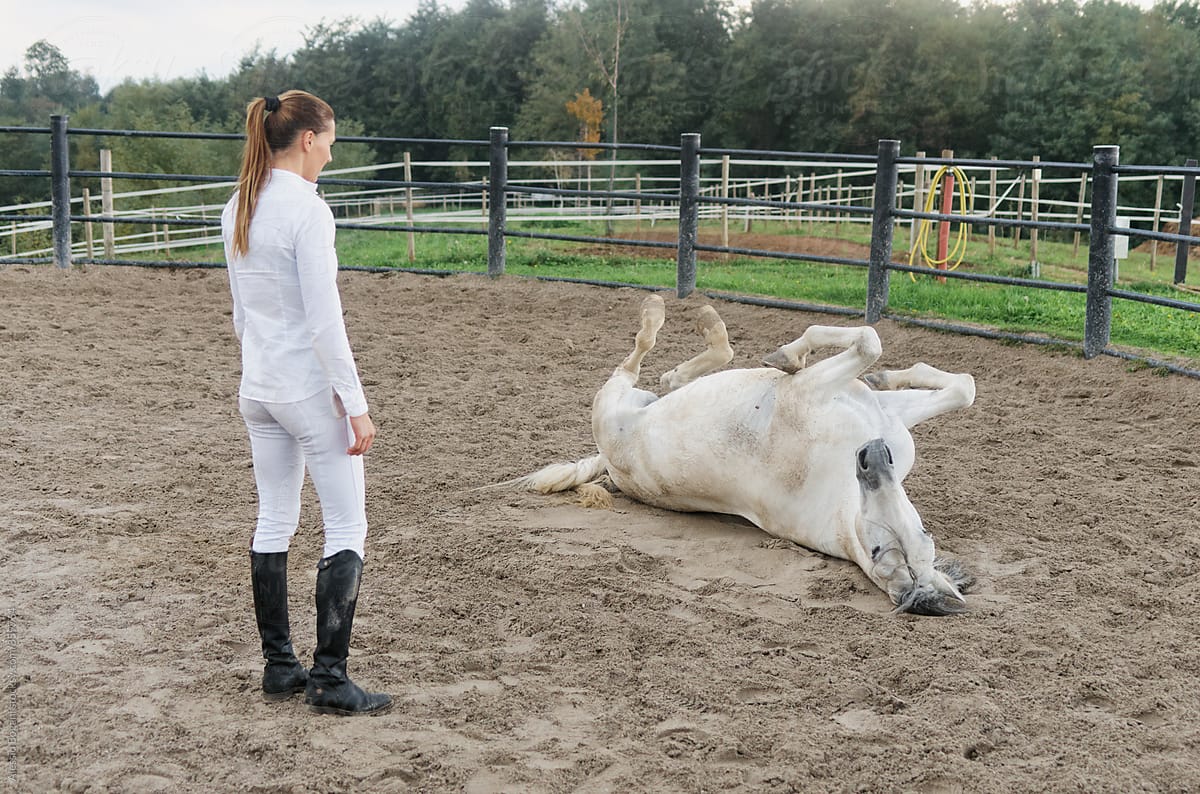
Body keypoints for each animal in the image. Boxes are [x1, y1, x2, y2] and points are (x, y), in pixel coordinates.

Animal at [513, 294, 977, 616]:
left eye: (882, 551)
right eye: (922, 534)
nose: (873, 456)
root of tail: (607, 465)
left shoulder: (816, 392)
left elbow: (870, 344)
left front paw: (789, 355)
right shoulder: (879, 411)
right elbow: (959, 385)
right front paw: (884, 375)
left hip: (614, 401)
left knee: (640, 359)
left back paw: (664, 312)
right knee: (676, 372)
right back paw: (701, 325)